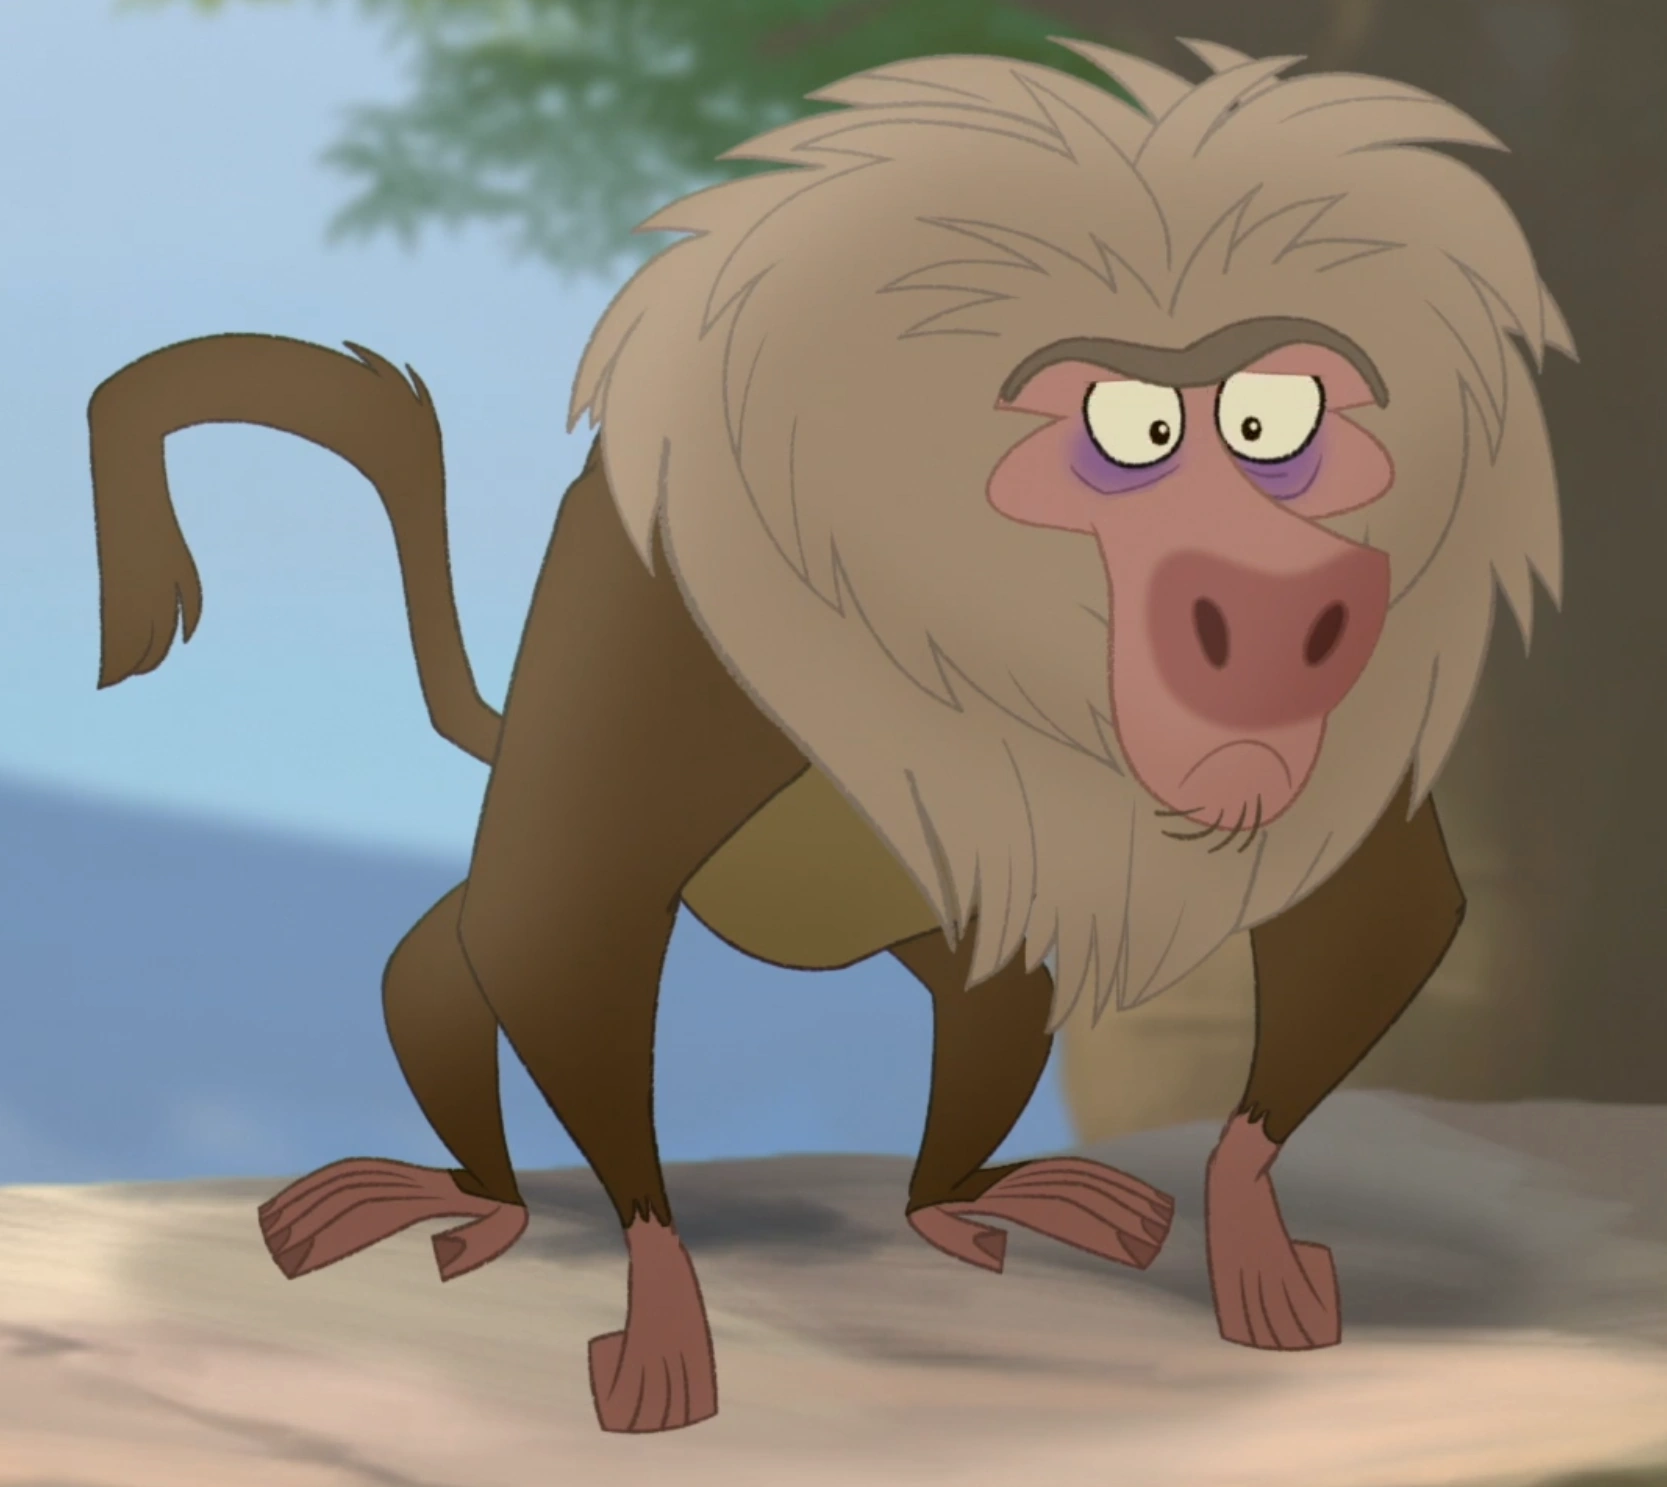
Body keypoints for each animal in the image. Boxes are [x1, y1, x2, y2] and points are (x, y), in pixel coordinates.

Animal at [87, 37, 1571, 1433]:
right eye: (1134, 430)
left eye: (1272, 422)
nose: (1283, 607)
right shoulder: (654, 605)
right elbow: (554, 926)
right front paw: (662, 1299)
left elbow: (1386, 910)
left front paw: (1244, 1218)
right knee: (441, 971)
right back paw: (476, 1194)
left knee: (994, 1011)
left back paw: (961, 1195)